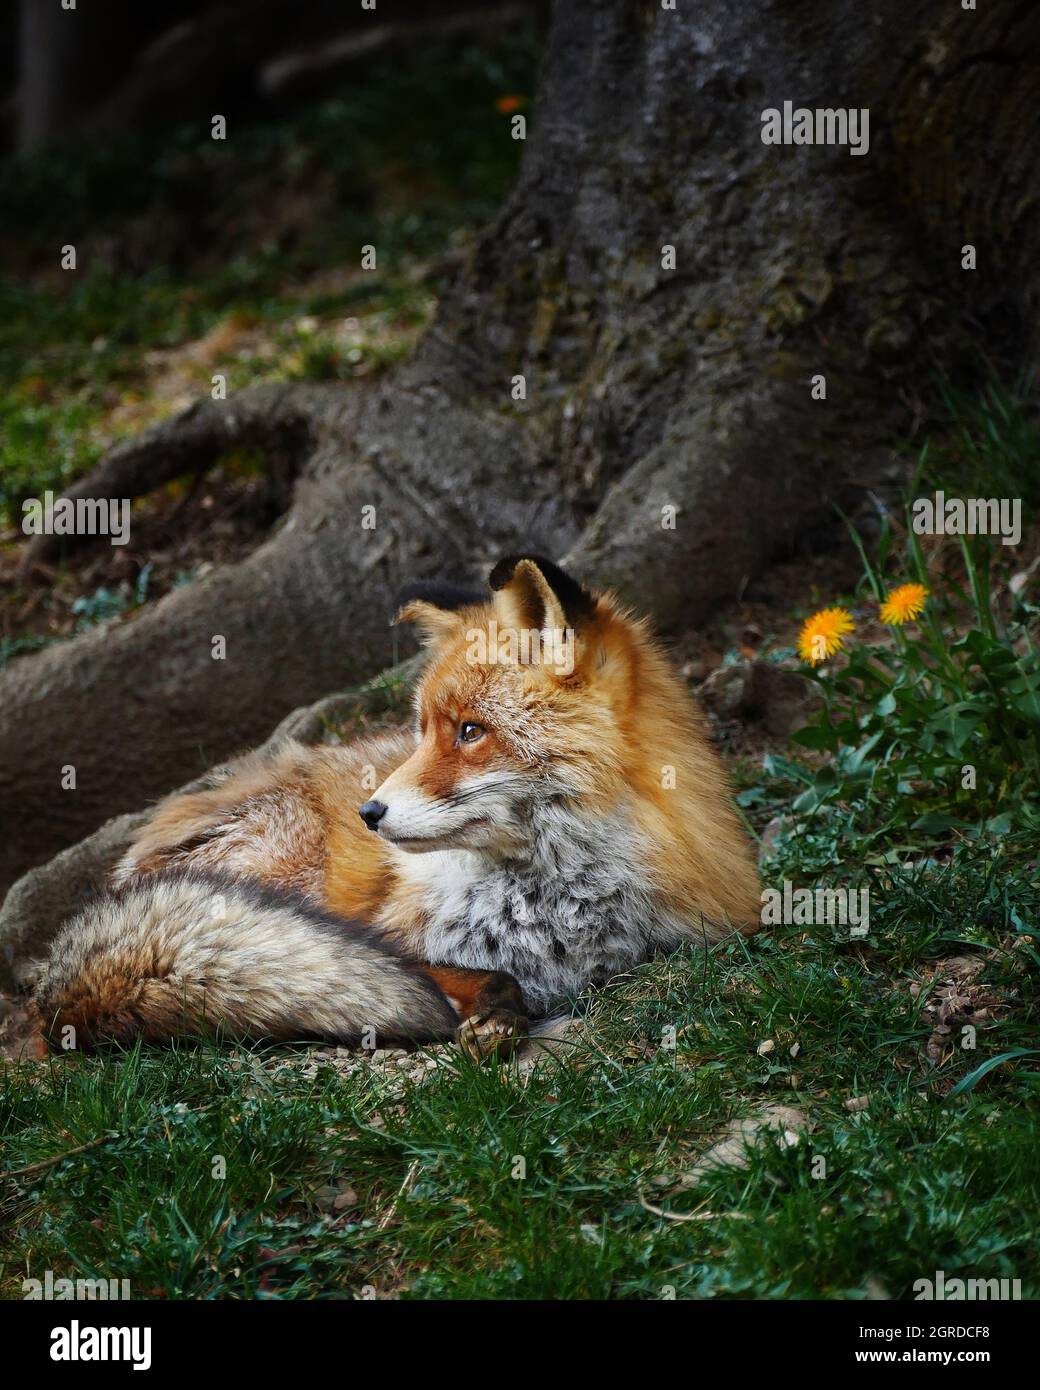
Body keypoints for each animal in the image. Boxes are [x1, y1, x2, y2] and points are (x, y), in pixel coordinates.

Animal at [32, 555, 761, 1058]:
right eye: (423, 728)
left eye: (470, 731)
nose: (370, 814)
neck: (554, 905)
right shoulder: (383, 929)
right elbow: (460, 974)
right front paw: (486, 1012)